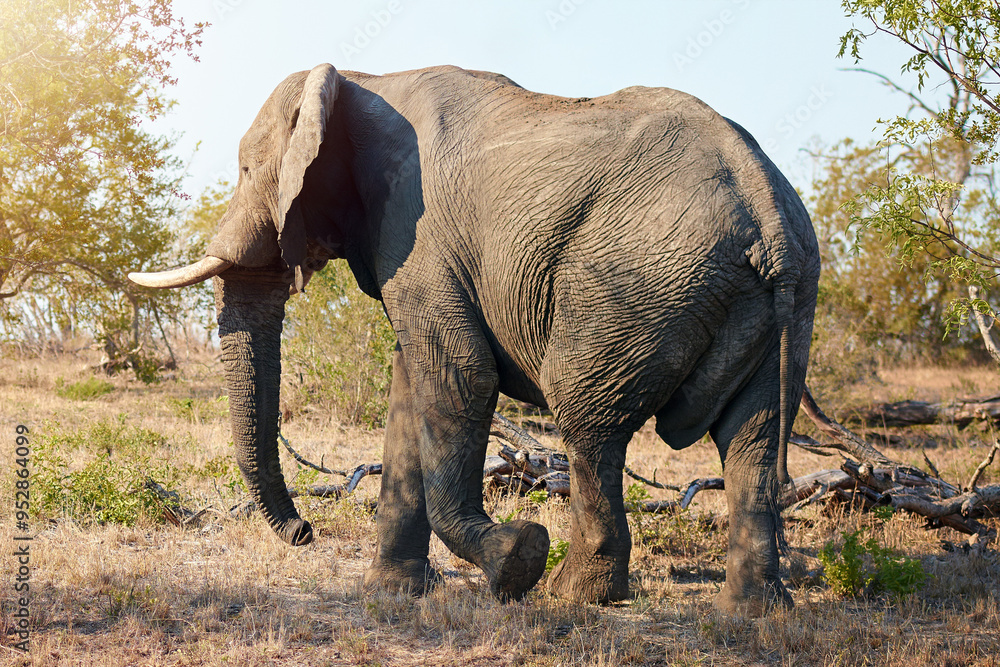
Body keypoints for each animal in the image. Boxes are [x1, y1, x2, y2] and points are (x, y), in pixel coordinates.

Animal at [130, 63, 819, 614]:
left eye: (247, 168)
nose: (304, 532)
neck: (362, 80)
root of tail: (766, 205)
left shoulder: (417, 232)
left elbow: (460, 375)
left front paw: (515, 560)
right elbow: (412, 389)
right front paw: (391, 594)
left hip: (633, 285)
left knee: (589, 423)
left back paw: (574, 596)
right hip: (774, 304)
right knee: (752, 437)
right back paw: (750, 611)